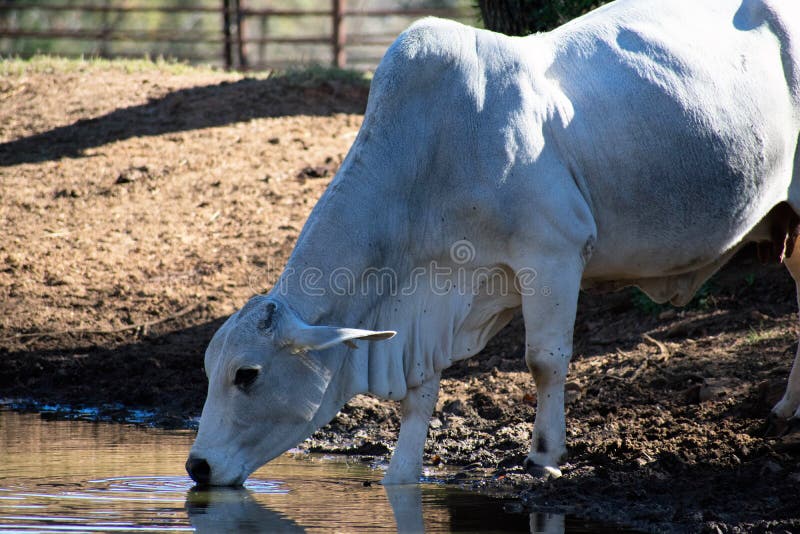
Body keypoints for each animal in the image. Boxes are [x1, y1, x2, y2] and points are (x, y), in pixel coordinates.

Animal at [186, 0, 800, 486]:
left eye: (247, 374)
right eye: (210, 370)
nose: (197, 466)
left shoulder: (553, 254)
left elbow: (544, 361)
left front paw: (544, 456)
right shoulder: (430, 302)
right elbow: (420, 392)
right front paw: (402, 473)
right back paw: (785, 409)